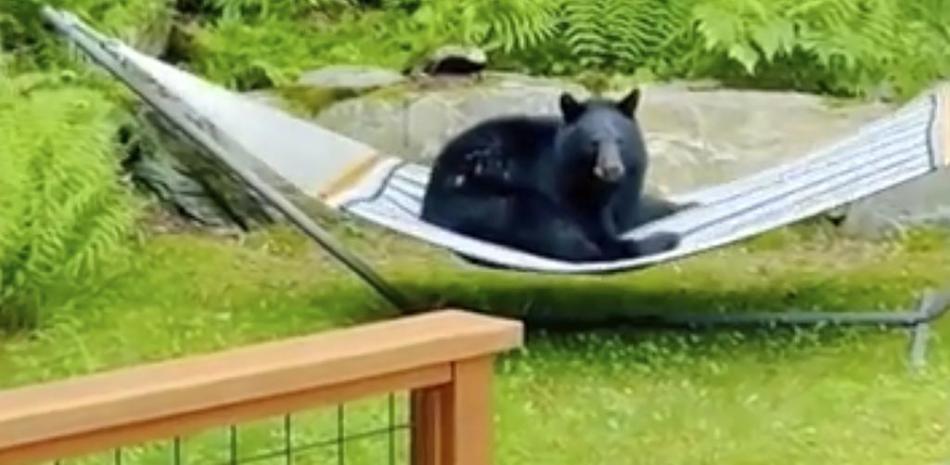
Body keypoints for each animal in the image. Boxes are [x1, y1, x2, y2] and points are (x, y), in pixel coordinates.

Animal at [419, 87, 693, 263]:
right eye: (593, 143)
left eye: (620, 141)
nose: (612, 169)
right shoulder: (565, 186)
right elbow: (596, 230)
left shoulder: (626, 189)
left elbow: (635, 210)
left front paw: (685, 205)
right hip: (491, 198)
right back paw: (665, 239)